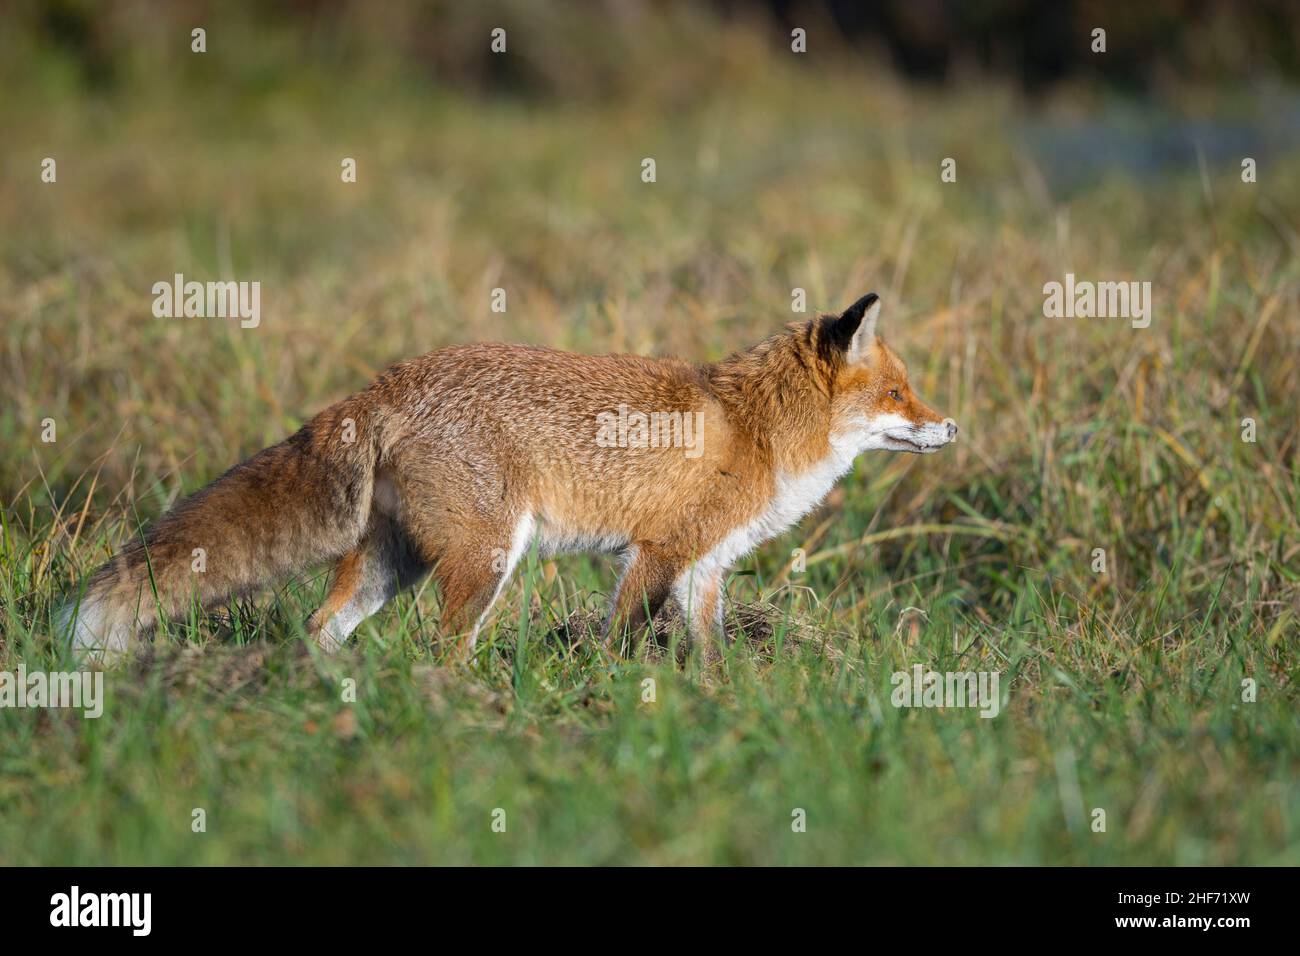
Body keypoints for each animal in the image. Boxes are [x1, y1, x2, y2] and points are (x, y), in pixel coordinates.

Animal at [59, 292, 956, 664]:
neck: (761, 428)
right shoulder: (658, 551)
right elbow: (621, 636)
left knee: (318, 626)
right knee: (442, 648)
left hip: (396, 561)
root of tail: (390, 379)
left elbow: (709, 653)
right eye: (899, 393)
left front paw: (721, 703)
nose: (950, 426)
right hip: (487, 557)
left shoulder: (704, 568)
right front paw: (611, 696)